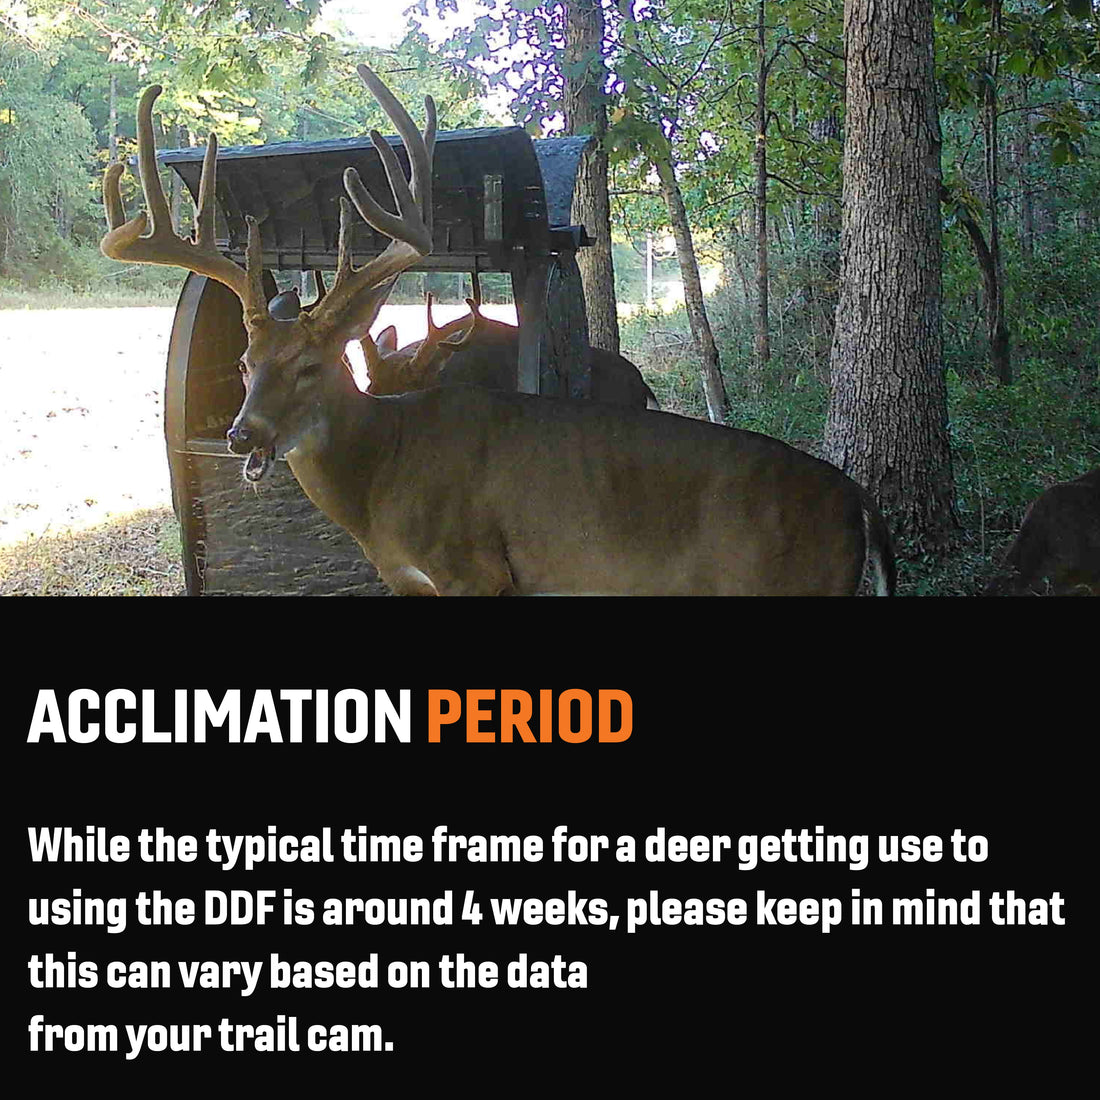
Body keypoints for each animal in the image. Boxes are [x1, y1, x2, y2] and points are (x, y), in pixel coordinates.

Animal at [101, 63, 895, 596]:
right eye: (244, 362)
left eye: (312, 365)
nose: (242, 434)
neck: (381, 477)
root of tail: (861, 504)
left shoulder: (475, 569)